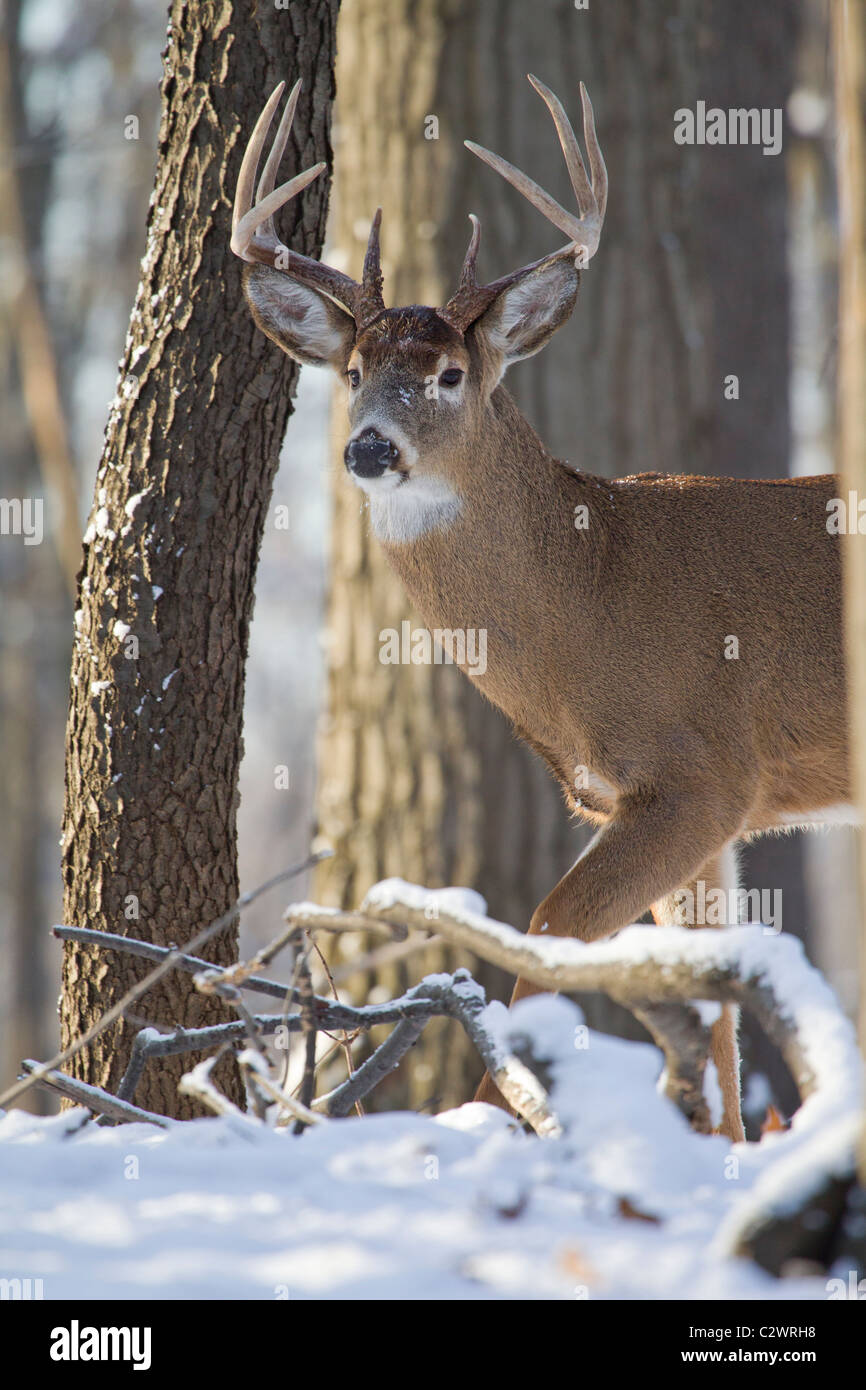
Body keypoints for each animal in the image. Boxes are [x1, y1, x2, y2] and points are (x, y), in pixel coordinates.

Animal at [230, 76, 850, 1144]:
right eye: (351, 374)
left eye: (448, 374)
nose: (369, 448)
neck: (593, 595)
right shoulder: (699, 810)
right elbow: (717, 992)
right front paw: (725, 1148)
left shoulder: (705, 772)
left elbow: (545, 937)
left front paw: (498, 1120)